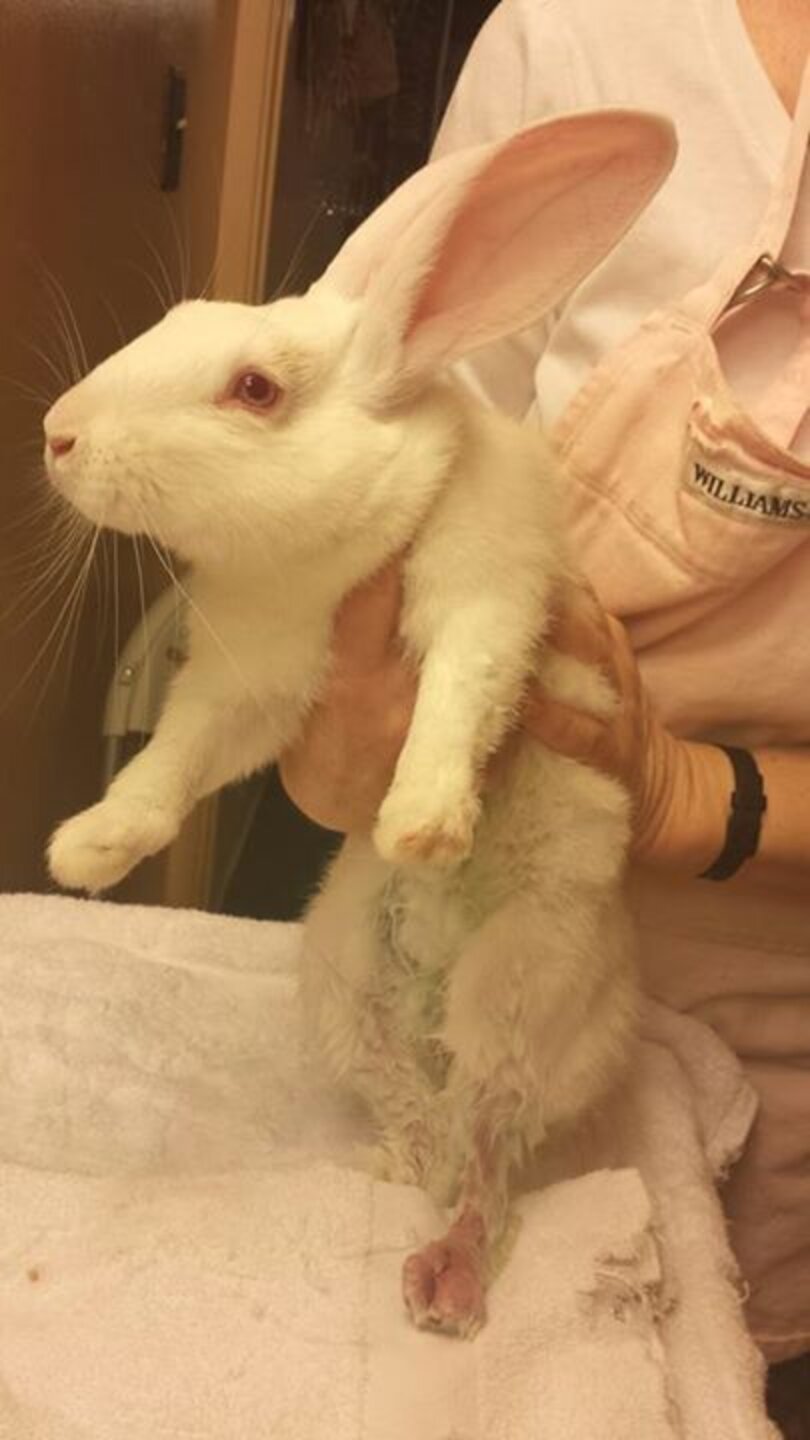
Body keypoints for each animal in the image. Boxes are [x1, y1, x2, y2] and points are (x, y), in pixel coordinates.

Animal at [43, 109, 676, 1336]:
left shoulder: (489, 594)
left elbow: (460, 692)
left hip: (521, 982)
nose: (54, 433)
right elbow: (172, 765)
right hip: (338, 978)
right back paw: (391, 1171)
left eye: (253, 389)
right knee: (424, 1121)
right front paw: (87, 850)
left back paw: (450, 1280)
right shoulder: (246, 684)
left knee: (488, 1151)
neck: (326, 556)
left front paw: (426, 821)